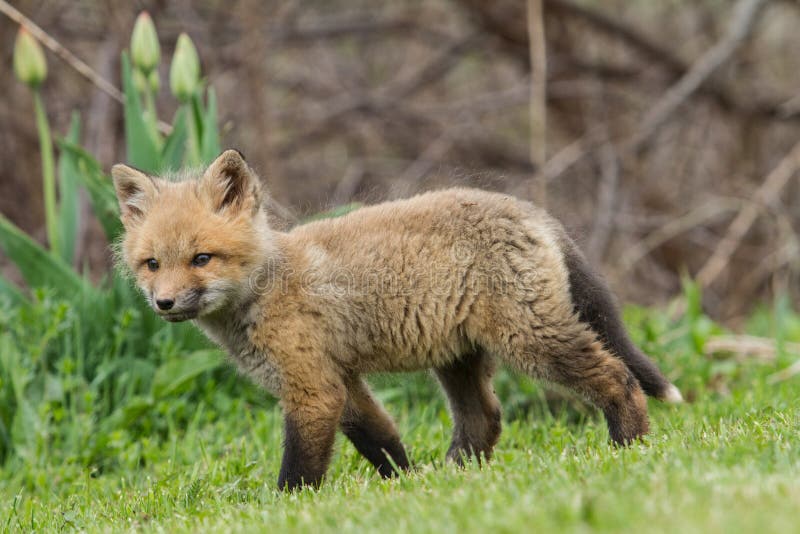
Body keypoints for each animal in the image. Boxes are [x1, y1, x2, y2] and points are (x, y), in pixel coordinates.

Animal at [112, 149, 682, 491]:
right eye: (152, 264)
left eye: (202, 259)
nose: (164, 304)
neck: (269, 287)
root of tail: (525, 208)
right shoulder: (341, 383)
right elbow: (381, 439)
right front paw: (406, 488)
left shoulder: (313, 389)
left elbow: (299, 471)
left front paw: (286, 509)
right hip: (458, 356)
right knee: (485, 418)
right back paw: (453, 476)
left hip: (533, 339)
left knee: (619, 376)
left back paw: (627, 448)